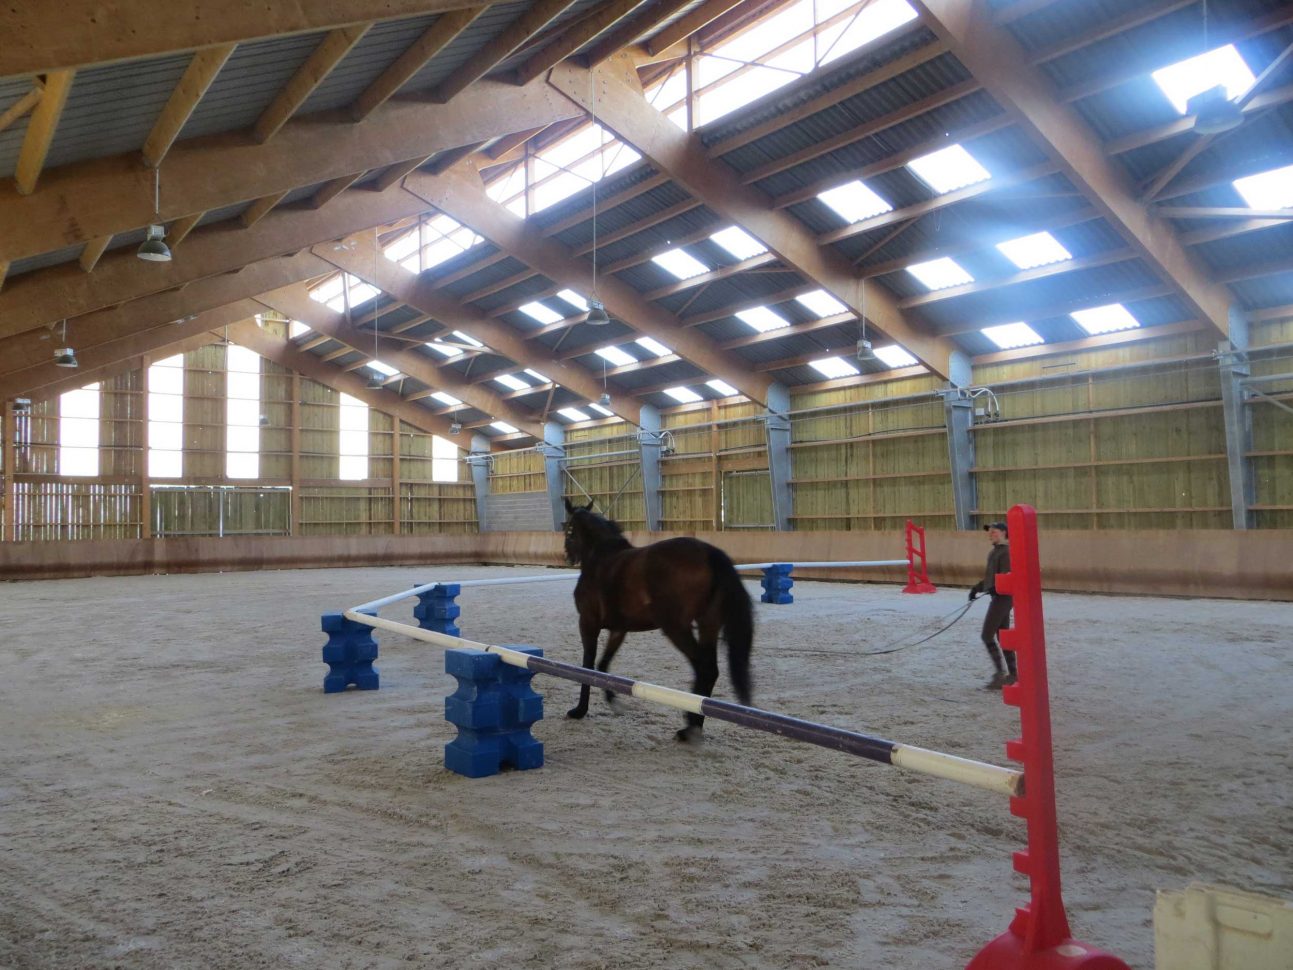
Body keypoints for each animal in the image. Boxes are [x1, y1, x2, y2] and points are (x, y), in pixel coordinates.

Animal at [561, 501, 755, 744]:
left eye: (568, 529)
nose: (567, 556)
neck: (601, 557)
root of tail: (709, 553)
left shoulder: (588, 624)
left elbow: (588, 667)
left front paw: (579, 710)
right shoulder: (619, 629)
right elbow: (603, 665)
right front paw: (613, 701)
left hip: (676, 628)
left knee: (704, 668)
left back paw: (690, 727)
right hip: (707, 625)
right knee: (710, 670)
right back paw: (693, 726)